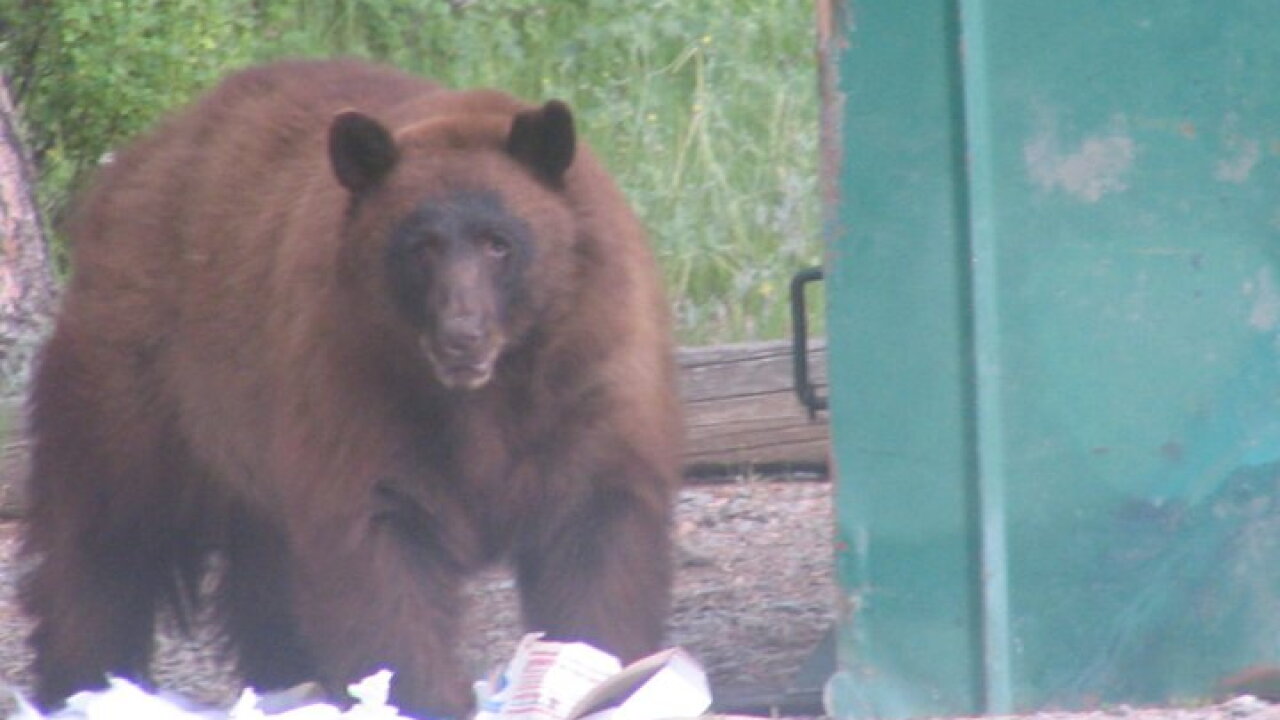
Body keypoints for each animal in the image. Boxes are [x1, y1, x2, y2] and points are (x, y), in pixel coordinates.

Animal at [20, 58, 682, 719]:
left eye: (500, 242)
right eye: (421, 246)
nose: (461, 337)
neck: (484, 394)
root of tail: (145, 152)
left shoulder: (586, 380)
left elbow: (595, 535)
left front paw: (596, 677)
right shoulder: (358, 380)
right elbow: (379, 551)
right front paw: (411, 695)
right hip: (147, 373)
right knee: (105, 529)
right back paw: (83, 679)